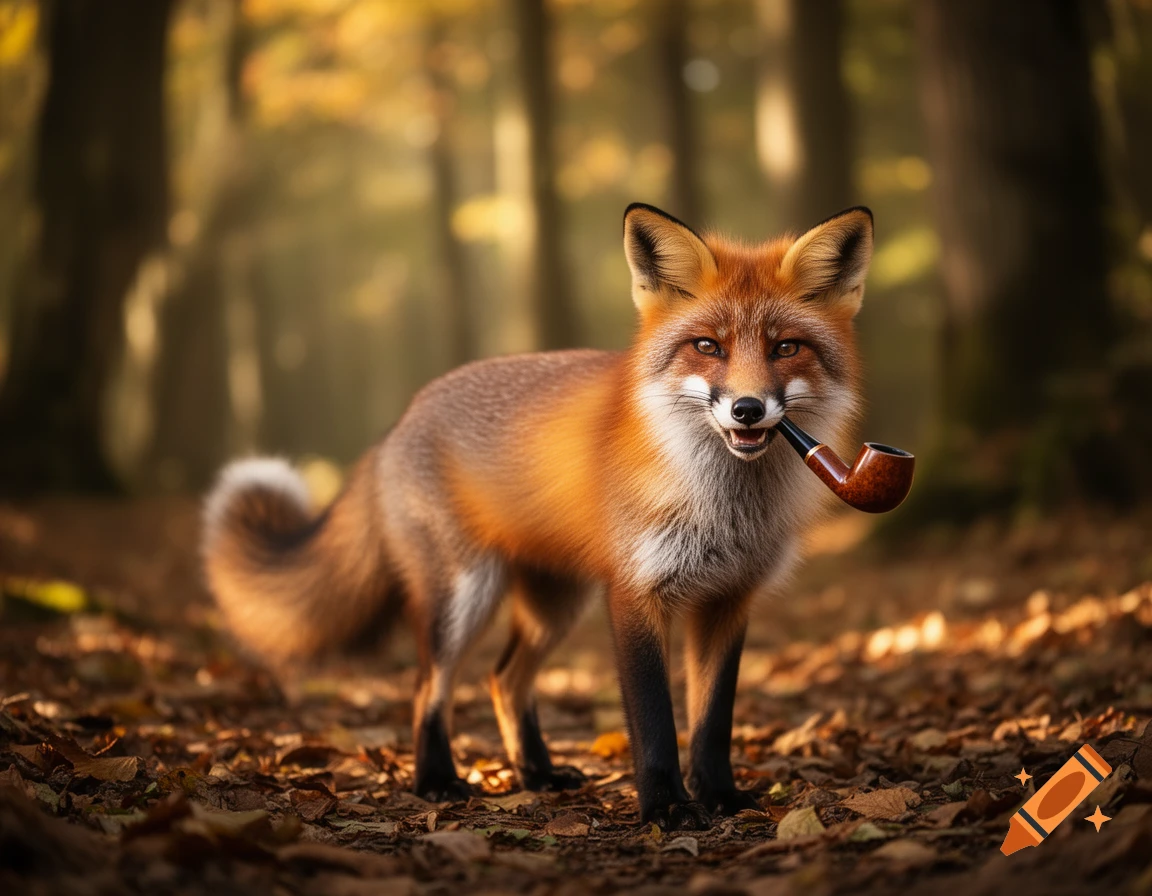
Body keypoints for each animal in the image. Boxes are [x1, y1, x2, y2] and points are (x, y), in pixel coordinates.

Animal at [202, 202, 872, 830]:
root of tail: (400, 420)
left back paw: (538, 773)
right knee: (427, 689)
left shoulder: (729, 599)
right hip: (462, 598)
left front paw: (719, 796)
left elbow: (712, 720)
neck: (726, 508)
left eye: (786, 348)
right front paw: (664, 806)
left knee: (504, 679)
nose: (748, 409)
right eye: (708, 346)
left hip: (556, 604)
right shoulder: (635, 593)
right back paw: (437, 781)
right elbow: (654, 719)